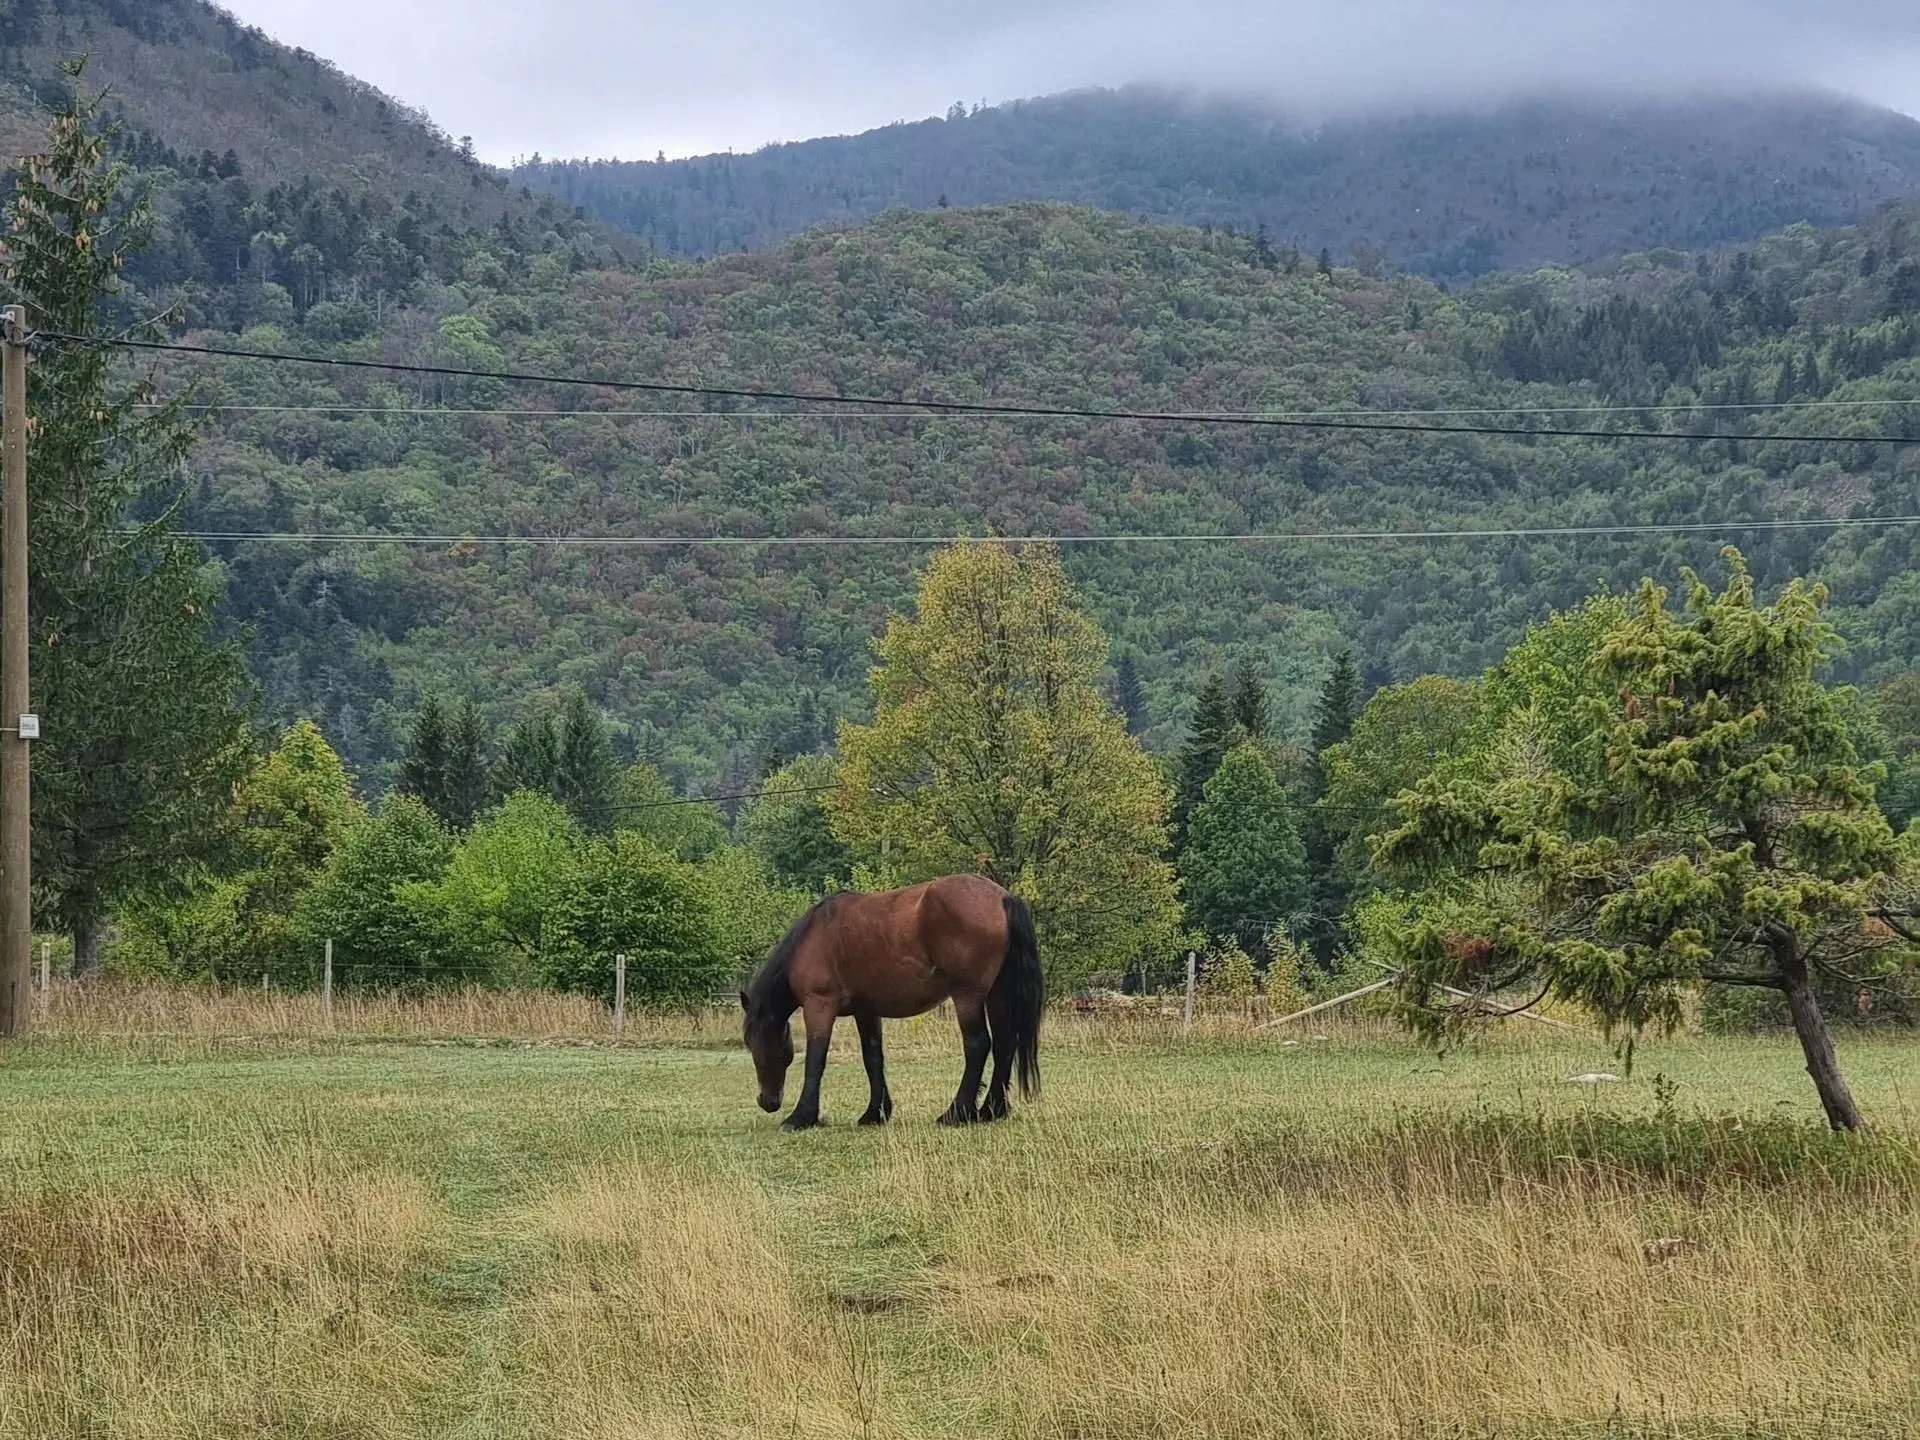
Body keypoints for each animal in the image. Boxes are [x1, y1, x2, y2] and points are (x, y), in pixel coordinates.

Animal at [739, 874, 1043, 1130]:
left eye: (756, 1044)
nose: (767, 1102)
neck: (815, 934)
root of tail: (1003, 897)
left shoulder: (819, 1005)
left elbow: (815, 1059)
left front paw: (801, 1117)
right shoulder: (866, 1010)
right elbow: (873, 1057)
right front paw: (875, 1113)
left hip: (967, 995)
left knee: (978, 1045)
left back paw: (955, 1113)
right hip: (996, 994)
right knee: (1005, 1044)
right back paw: (991, 1110)